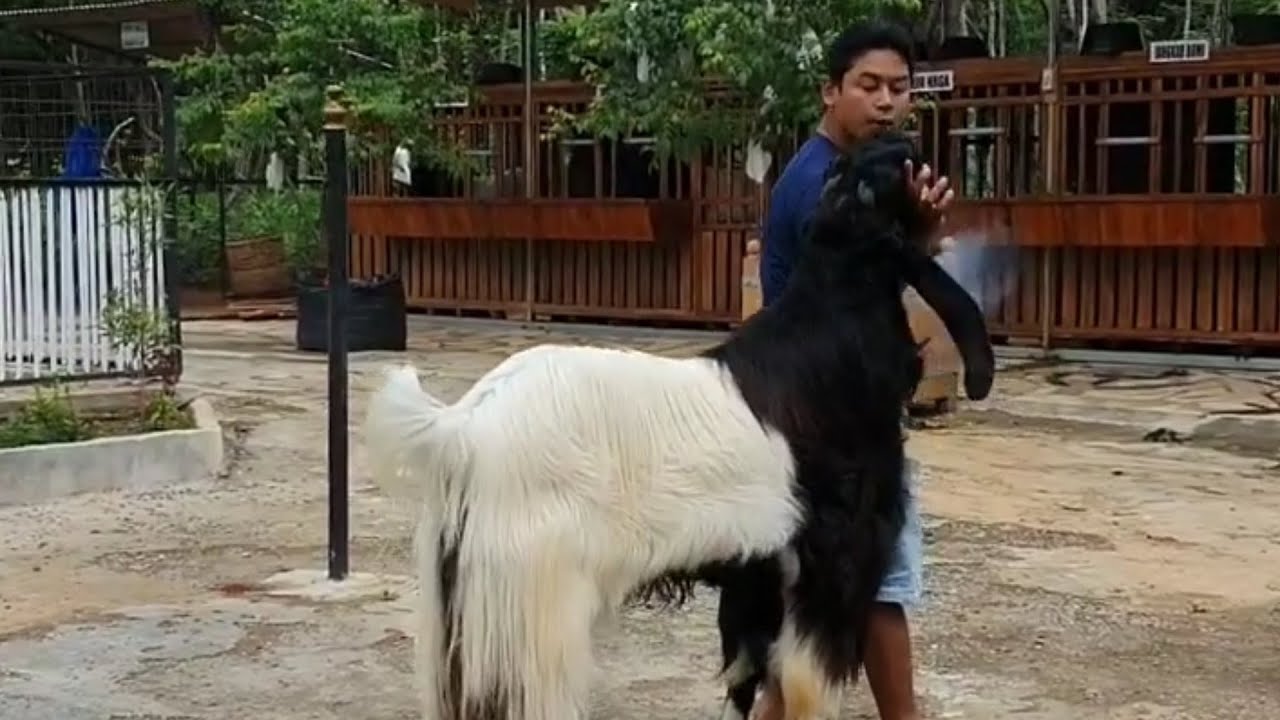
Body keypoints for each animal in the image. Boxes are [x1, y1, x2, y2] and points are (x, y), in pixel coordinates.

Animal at [363, 129, 995, 720]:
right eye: (897, 168)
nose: (906, 139)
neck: (831, 332)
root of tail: (462, 426)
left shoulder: (759, 573)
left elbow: (756, 674)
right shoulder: (834, 556)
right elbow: (807, 683)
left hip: (462, 598)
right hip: (536, 597)